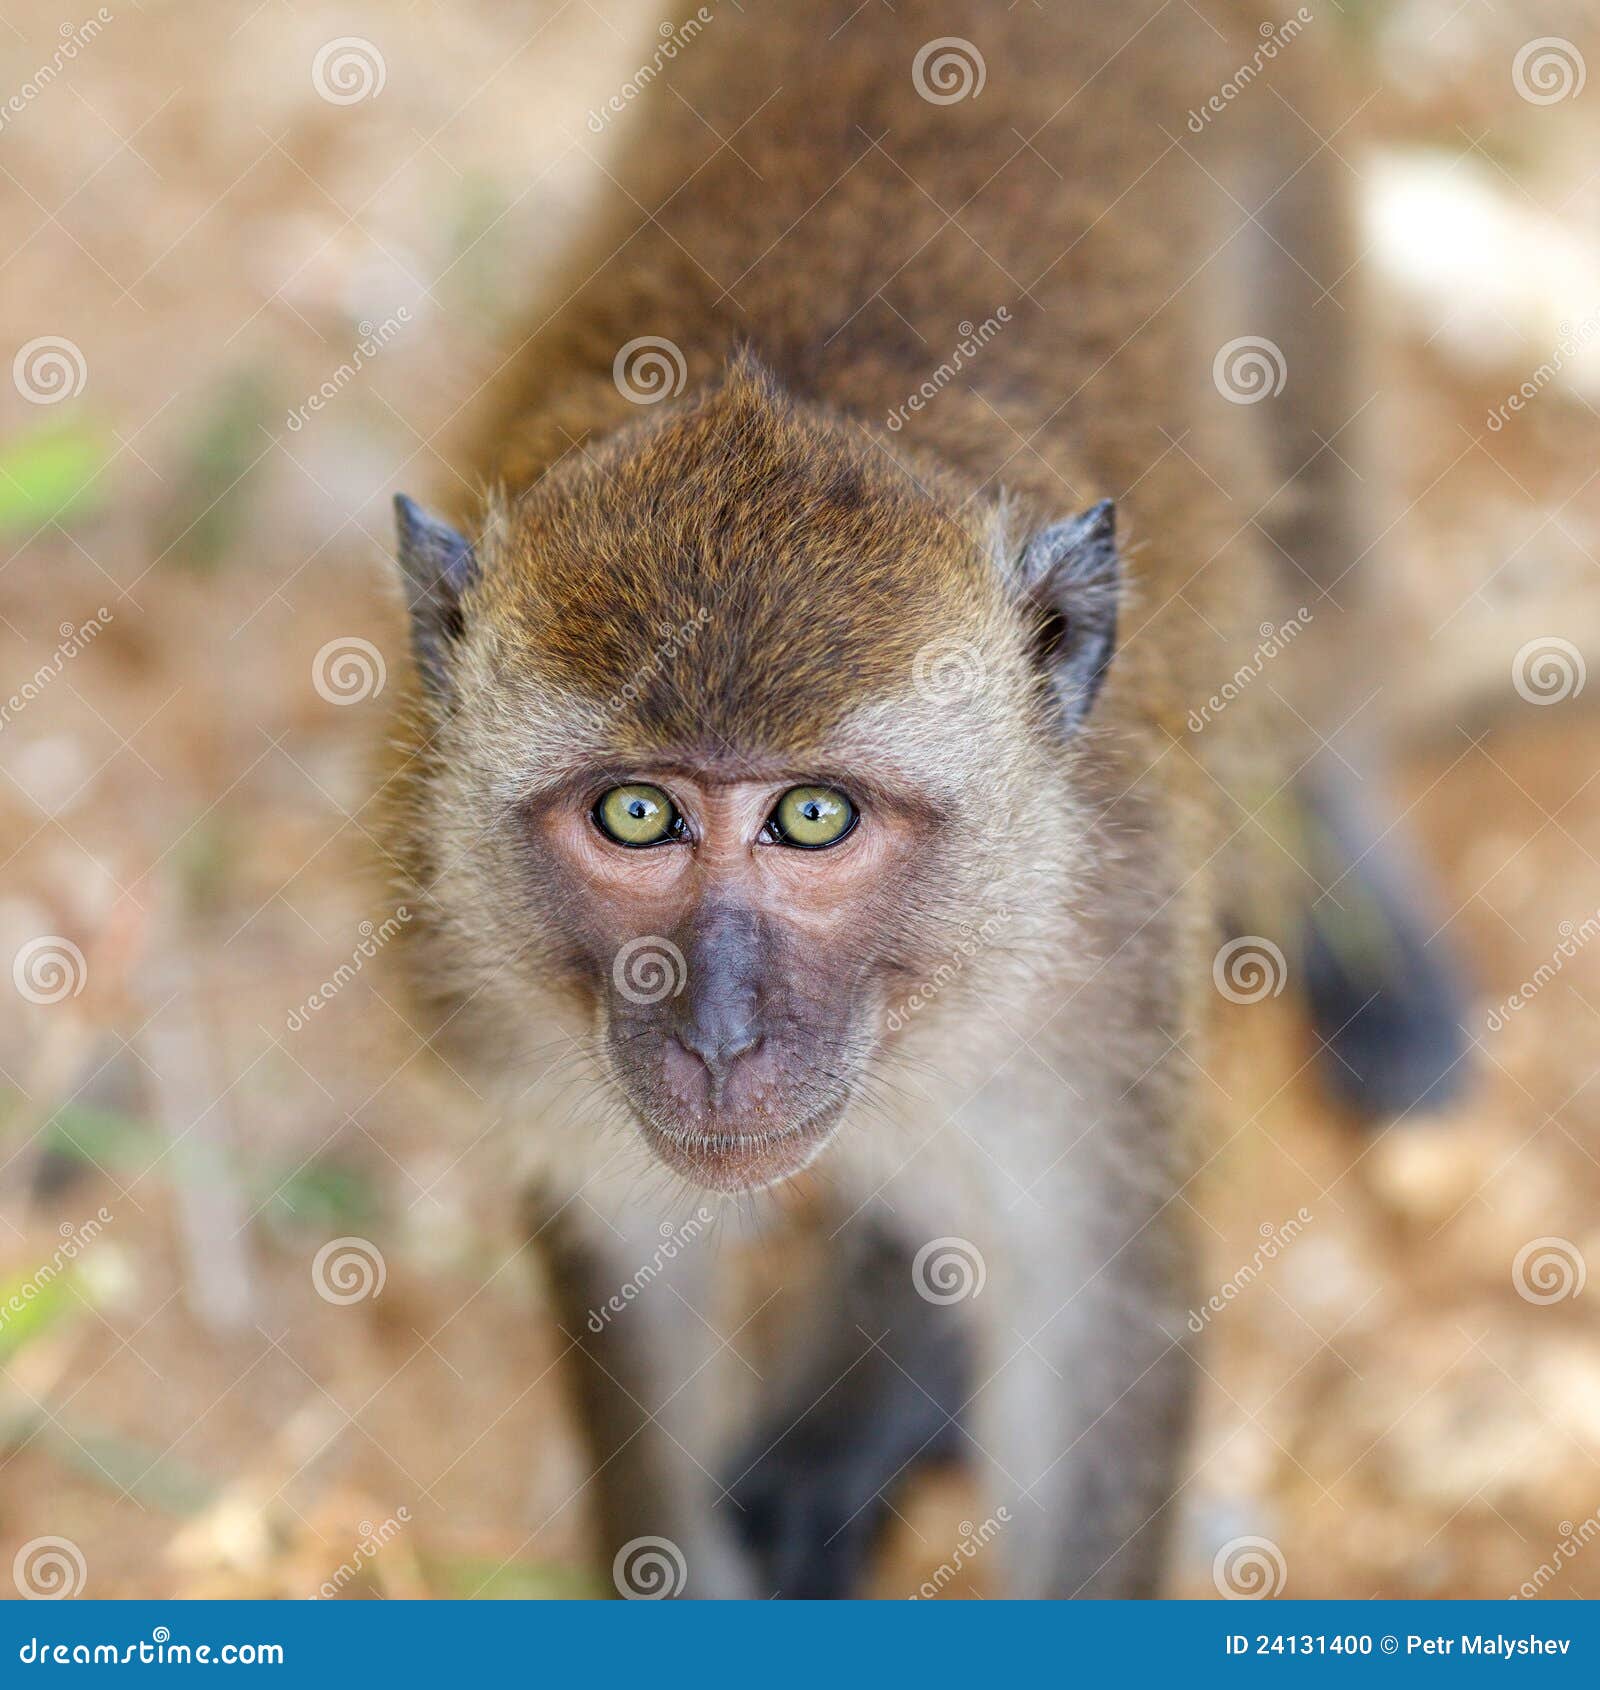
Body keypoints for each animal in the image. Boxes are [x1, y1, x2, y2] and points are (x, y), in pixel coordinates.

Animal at [374, 0, 1466, 1598]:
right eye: (635, 815)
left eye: (813, 817)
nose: (719, 1034)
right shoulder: (494, 987)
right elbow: (634, 1280)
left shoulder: (1103, 969)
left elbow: (1094, 1349)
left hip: (1294, 195)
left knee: (1318, 573)